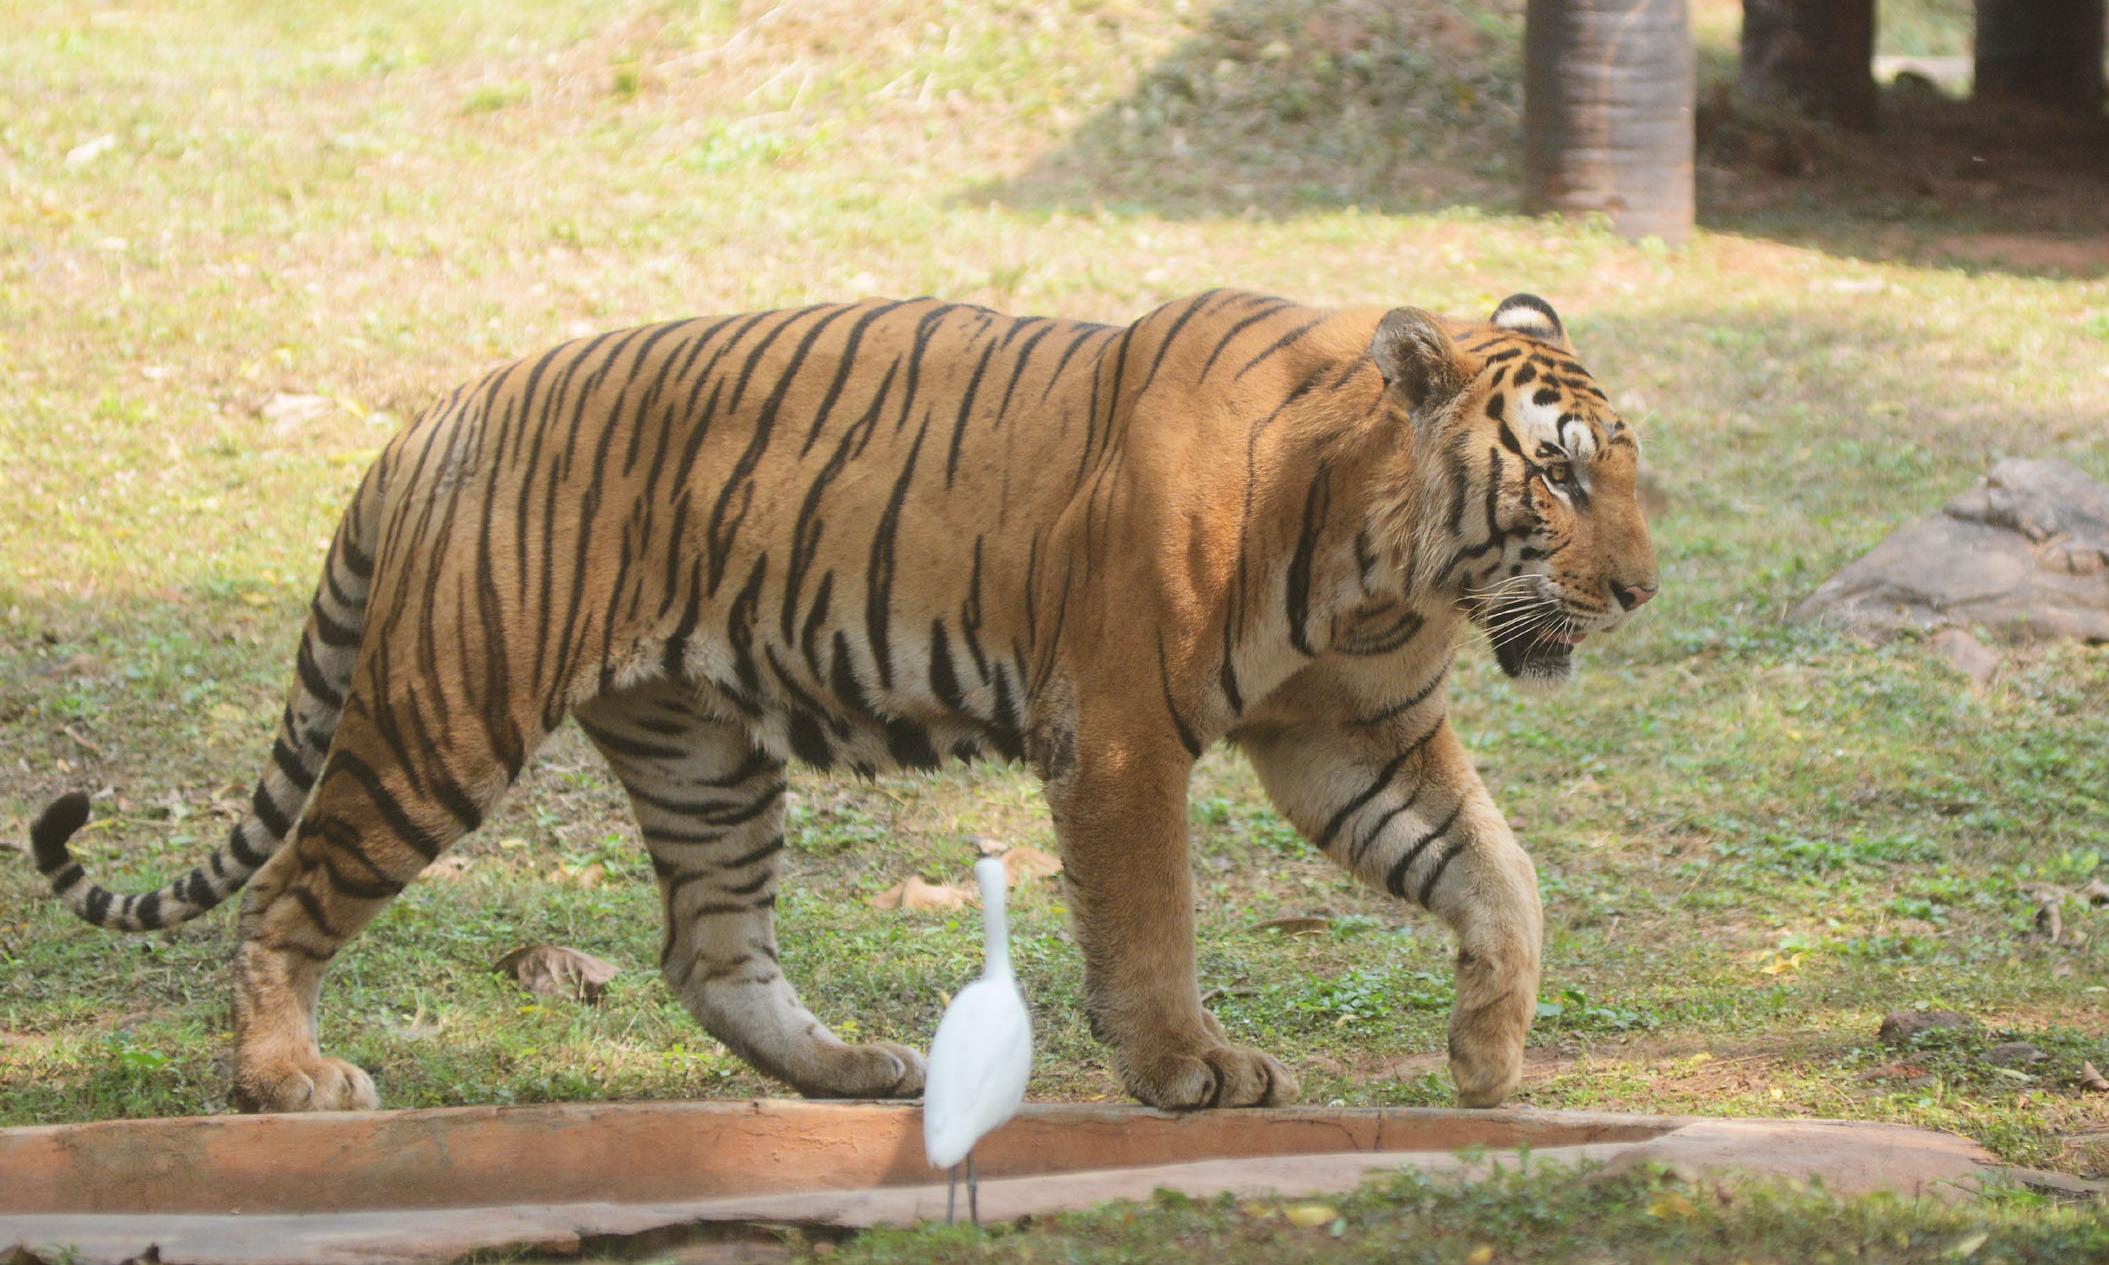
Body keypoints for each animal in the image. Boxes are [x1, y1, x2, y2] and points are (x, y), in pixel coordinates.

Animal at [27, 289, 1657, 1114]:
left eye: (1618, 470)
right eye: (1559, 474)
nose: (1643, 589)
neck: (1391, 567)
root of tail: (437, 410)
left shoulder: (1352, 737)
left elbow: (1499, 879)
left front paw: (1488, 1060)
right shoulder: (1124, 736)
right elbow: (1151, 924)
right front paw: (1186, 1068)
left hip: (701, 750)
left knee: (707, 951)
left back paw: (853, 1069)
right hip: (441, 722)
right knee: (287, 891)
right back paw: (284, 1080)